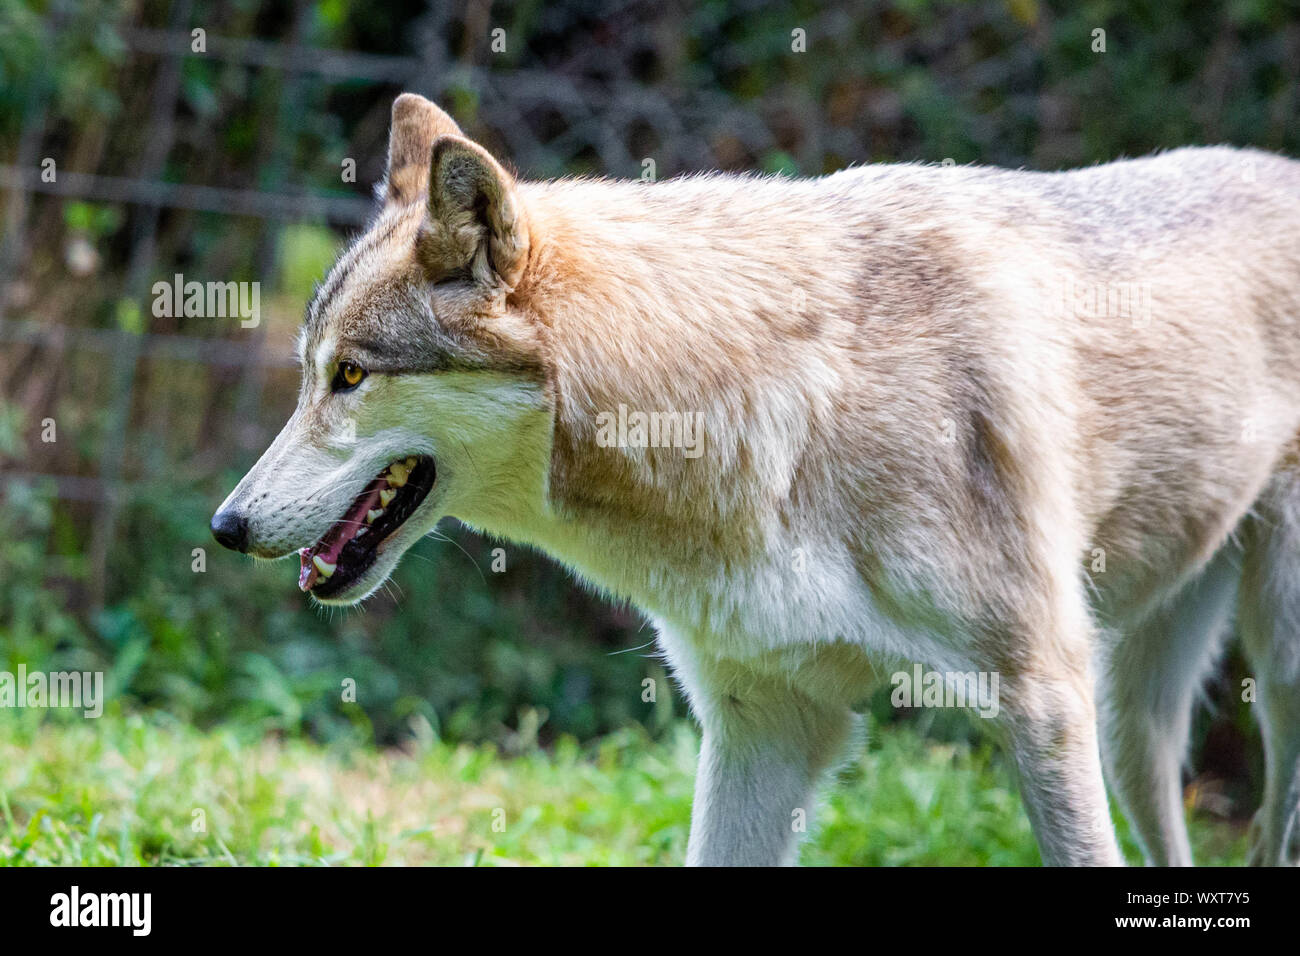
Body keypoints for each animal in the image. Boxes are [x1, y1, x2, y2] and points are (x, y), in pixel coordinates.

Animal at [212, 92, 1300, 866]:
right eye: (310, 372)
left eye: (352, 376)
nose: (224, 526)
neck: (787, 408)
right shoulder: (763, 725)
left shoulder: (1039, 699)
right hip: (1133, 715)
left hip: (1251, 674)